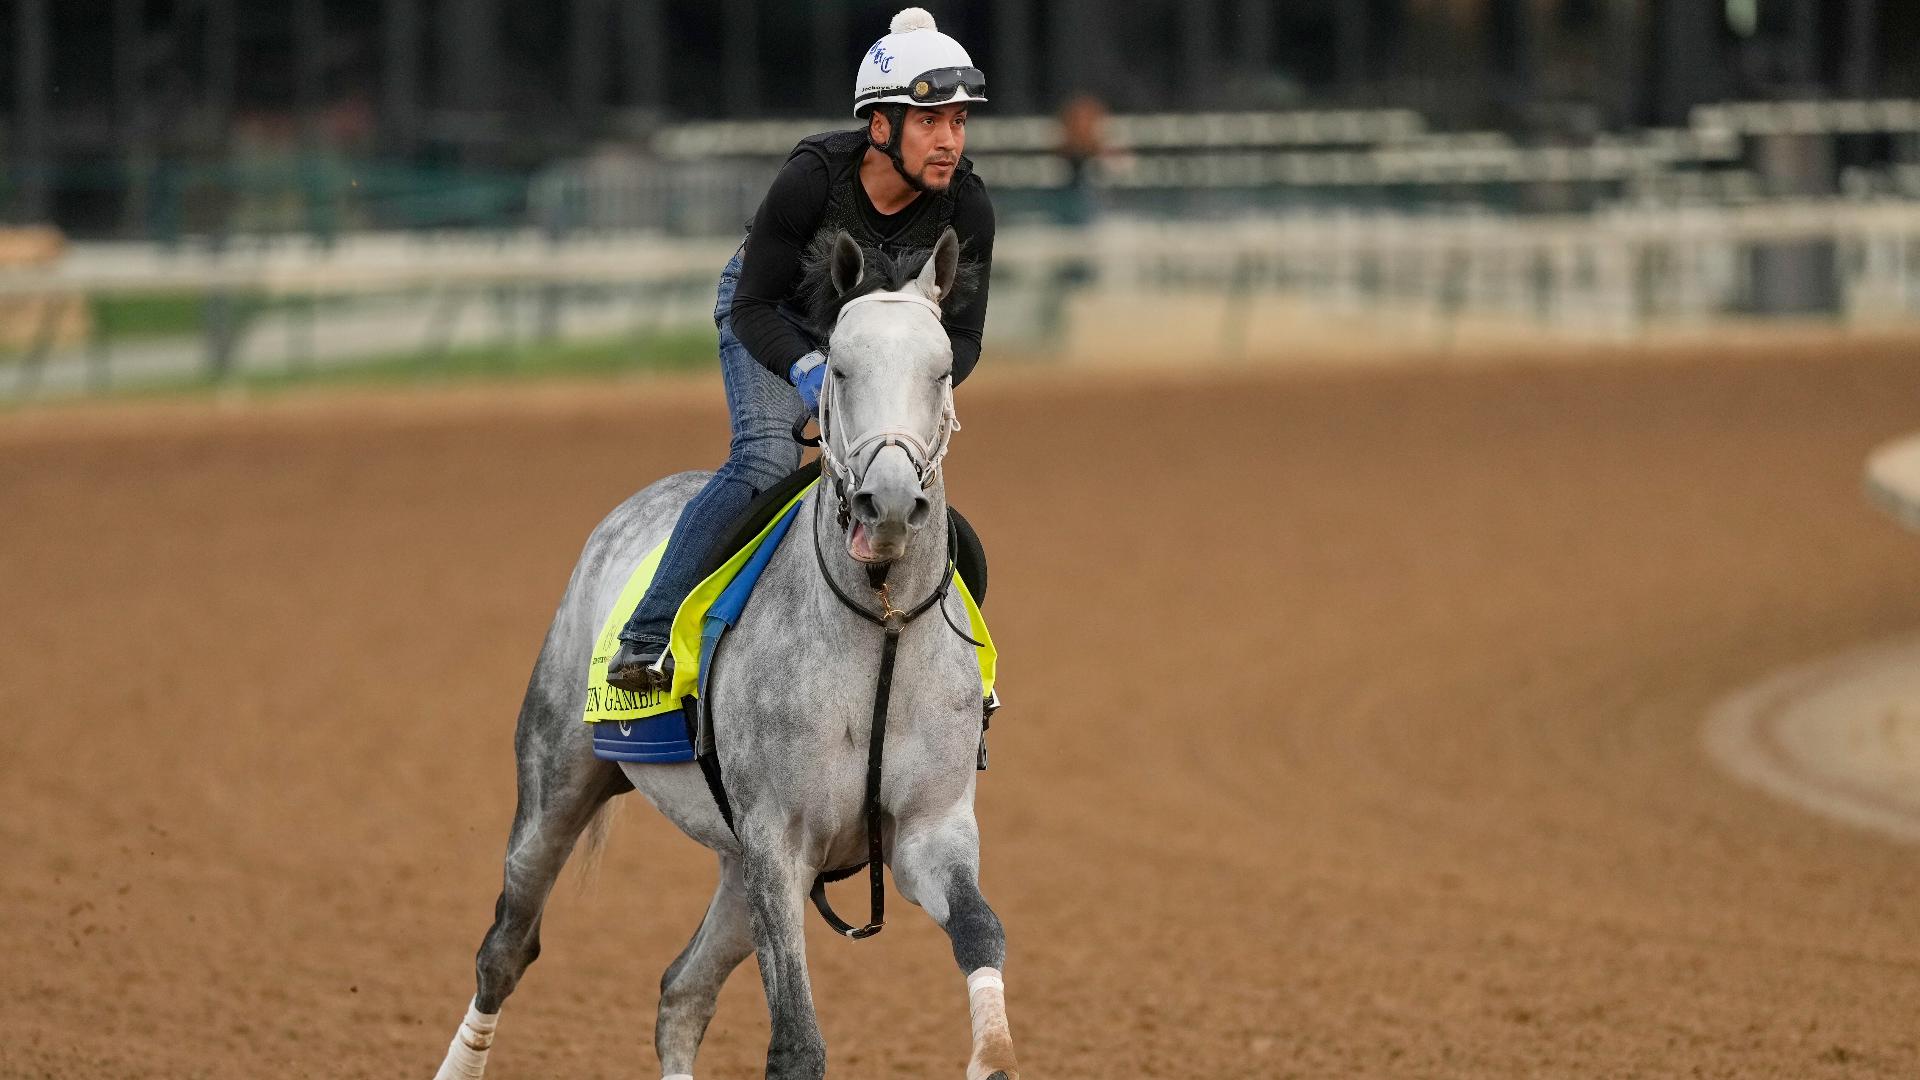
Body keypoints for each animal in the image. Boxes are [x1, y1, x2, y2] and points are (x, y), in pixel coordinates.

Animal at [431, 227, 1019, 1080]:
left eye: (940, 369)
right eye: (838, 369)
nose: (888, 504)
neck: (877, 630)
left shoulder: (927, 831)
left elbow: (981, 931)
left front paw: (992, 1052)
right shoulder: (776, 841)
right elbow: (798, 1044)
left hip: (733, 867)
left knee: (681, 989)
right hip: (554, 783)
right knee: (505, 950)